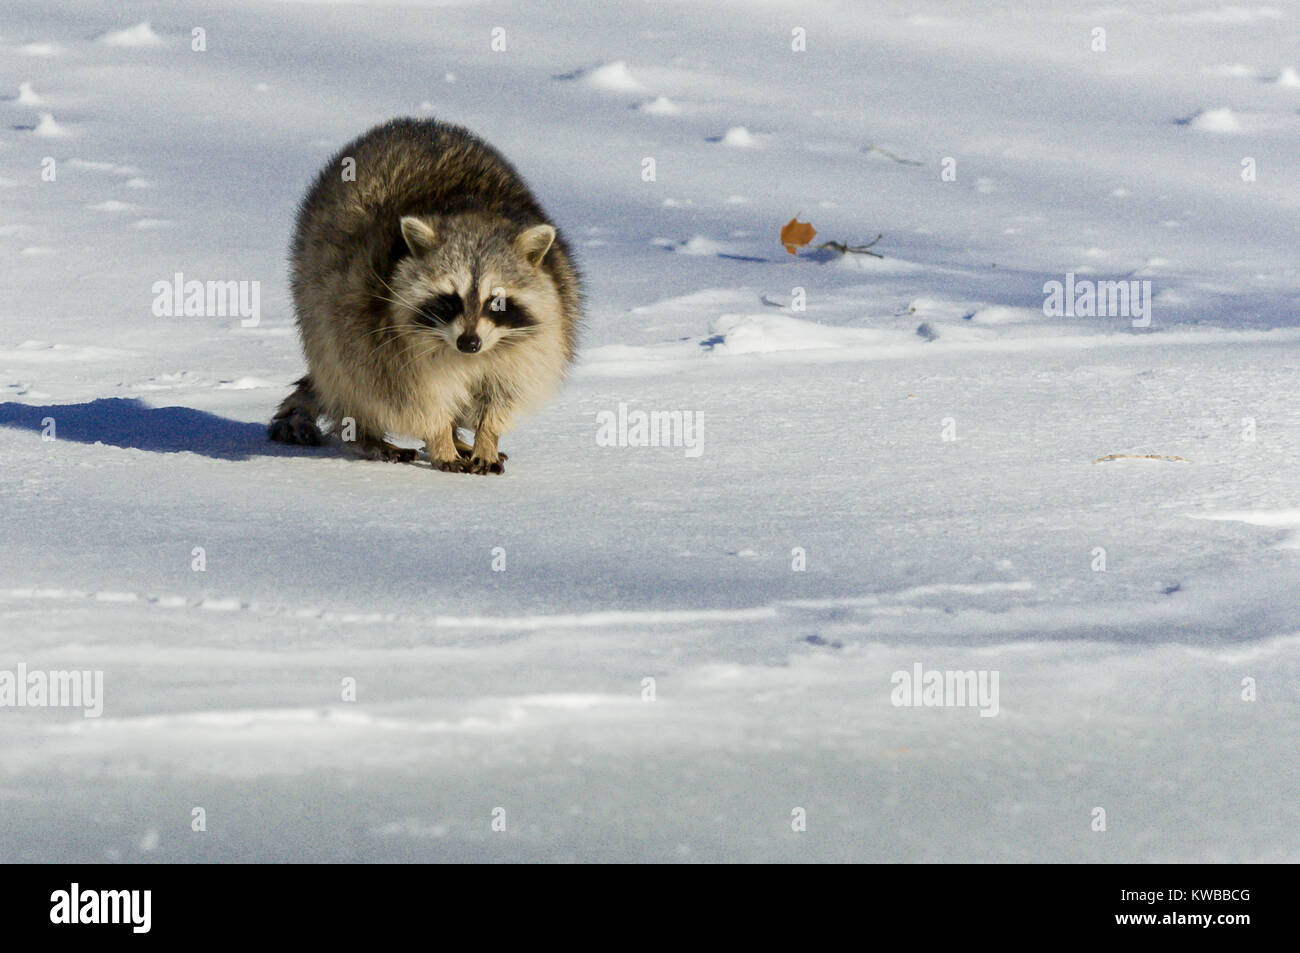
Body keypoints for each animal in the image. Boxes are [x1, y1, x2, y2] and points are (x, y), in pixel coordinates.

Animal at [268, 117, 581, 474]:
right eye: (449, 299)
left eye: (496, 301)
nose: (469, 343)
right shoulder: (383, 339)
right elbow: (415, 399)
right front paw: (440, 438)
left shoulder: (536, 337)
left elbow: (502, 394)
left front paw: (486, 437)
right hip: (320, 302)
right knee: (348, 374)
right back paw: (368, 436)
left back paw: (460, 438)